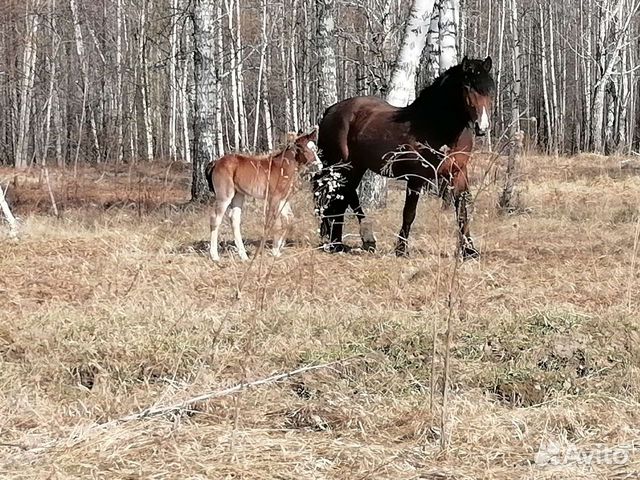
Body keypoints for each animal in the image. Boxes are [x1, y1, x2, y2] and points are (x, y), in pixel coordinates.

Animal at [206, 128, 322, 262]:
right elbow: (276, 223)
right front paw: (274, 251)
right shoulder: (274, 198)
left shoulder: (283, 199)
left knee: (234, 219)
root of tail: (216, 162)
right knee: (215, 219)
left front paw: (280, 246)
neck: (282, 167)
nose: (319, 166)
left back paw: (243, 255)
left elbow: (289, 219)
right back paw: (214, 256)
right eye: (304, 149)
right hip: (225, 195)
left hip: (238, 195)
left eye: (315, 148)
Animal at [313, 56, 495, 259]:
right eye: (467, 87)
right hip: (341, 166)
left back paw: (339, 242)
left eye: (489, 89)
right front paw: (402, 249)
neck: (436, 125)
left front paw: (469, 251)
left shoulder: (458, 173)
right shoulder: (416, 177)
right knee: (339, 199)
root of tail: (330, 110)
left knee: (343, 199)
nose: (482, 127)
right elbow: (409, 212)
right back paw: (346, 241)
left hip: (355, 167)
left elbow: (462, 210)